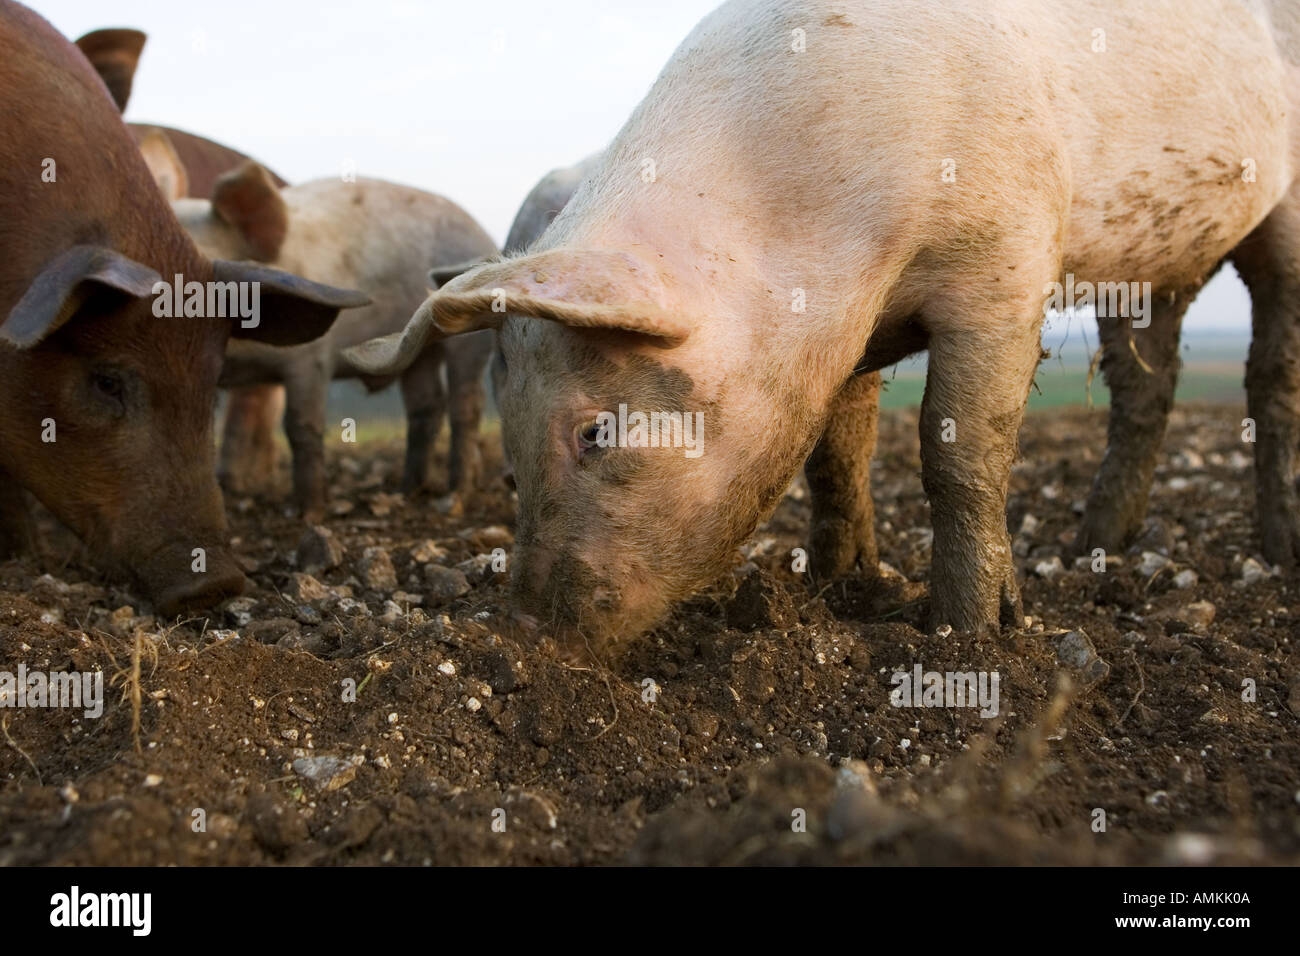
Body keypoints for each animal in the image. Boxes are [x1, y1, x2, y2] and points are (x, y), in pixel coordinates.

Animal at [171, 163, 499, 520]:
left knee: (465, 407)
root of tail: (483, 236)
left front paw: (308, 513)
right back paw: (407, 490)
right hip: (418, 353)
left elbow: (302, 425)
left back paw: (454, 498)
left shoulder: (311, 358)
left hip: (470, 342)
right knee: (426, 407)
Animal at [348, 0, 1297, 642]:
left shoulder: (1006, 259)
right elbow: (837, 456)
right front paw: (839, 588)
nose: (527, 632)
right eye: (507, 454)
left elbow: (960, 449)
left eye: (596, 434)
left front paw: (970, 632)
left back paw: (1275, 545)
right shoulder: (844, 331)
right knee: (1147, 384)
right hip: (1157, 268)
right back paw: (1097, 540)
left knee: (1271, 372)